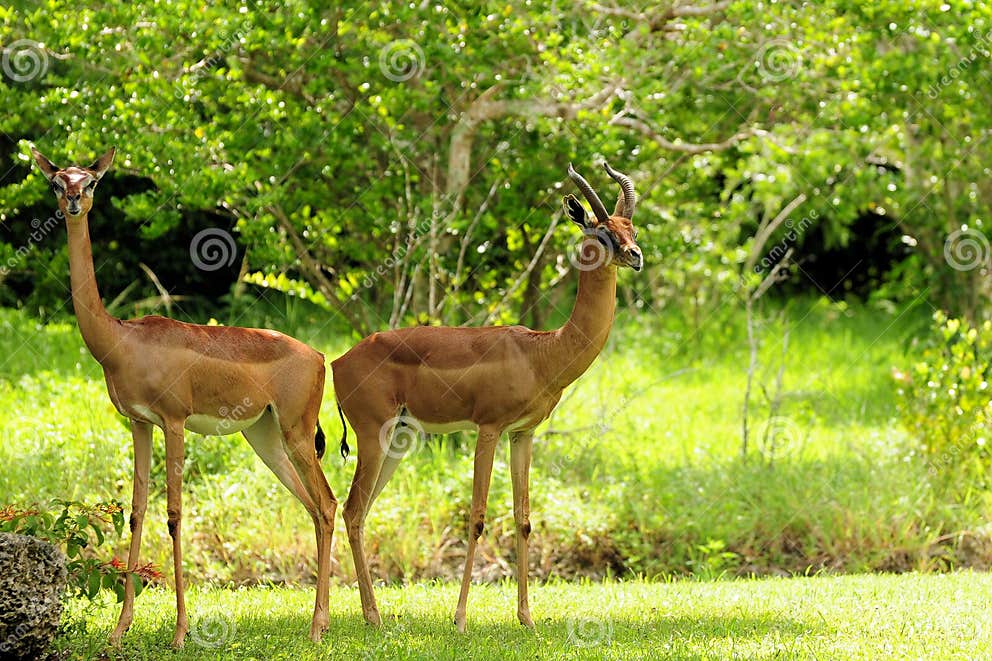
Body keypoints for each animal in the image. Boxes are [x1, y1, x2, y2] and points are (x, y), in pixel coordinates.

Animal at [30, 146, 338, 647]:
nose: (74, 201)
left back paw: (315, 629)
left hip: (296, 433)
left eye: (91, 180)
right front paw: (118, 632)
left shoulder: (174, 422)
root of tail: (319, 356)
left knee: (328, 504)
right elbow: (136, 512)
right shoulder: (138, 423)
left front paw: (179, 632)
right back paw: (322, 622)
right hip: (266, 438)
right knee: (314, 508)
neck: (121, 342)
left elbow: (173, 514)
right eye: (57, 181)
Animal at [332, 162, 642, 631]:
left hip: (396, 443)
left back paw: (375, 615)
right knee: (351, 510)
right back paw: (374, 617)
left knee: (360, 513)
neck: (542, 352)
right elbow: (477, 517)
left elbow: (523, 518)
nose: (636, 256)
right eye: (603, 232)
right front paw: (460, 620)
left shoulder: (522, 434)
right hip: (372, 438)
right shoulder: (488, 428)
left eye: (632, 228)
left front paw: (527, 618)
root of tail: (336, 361)